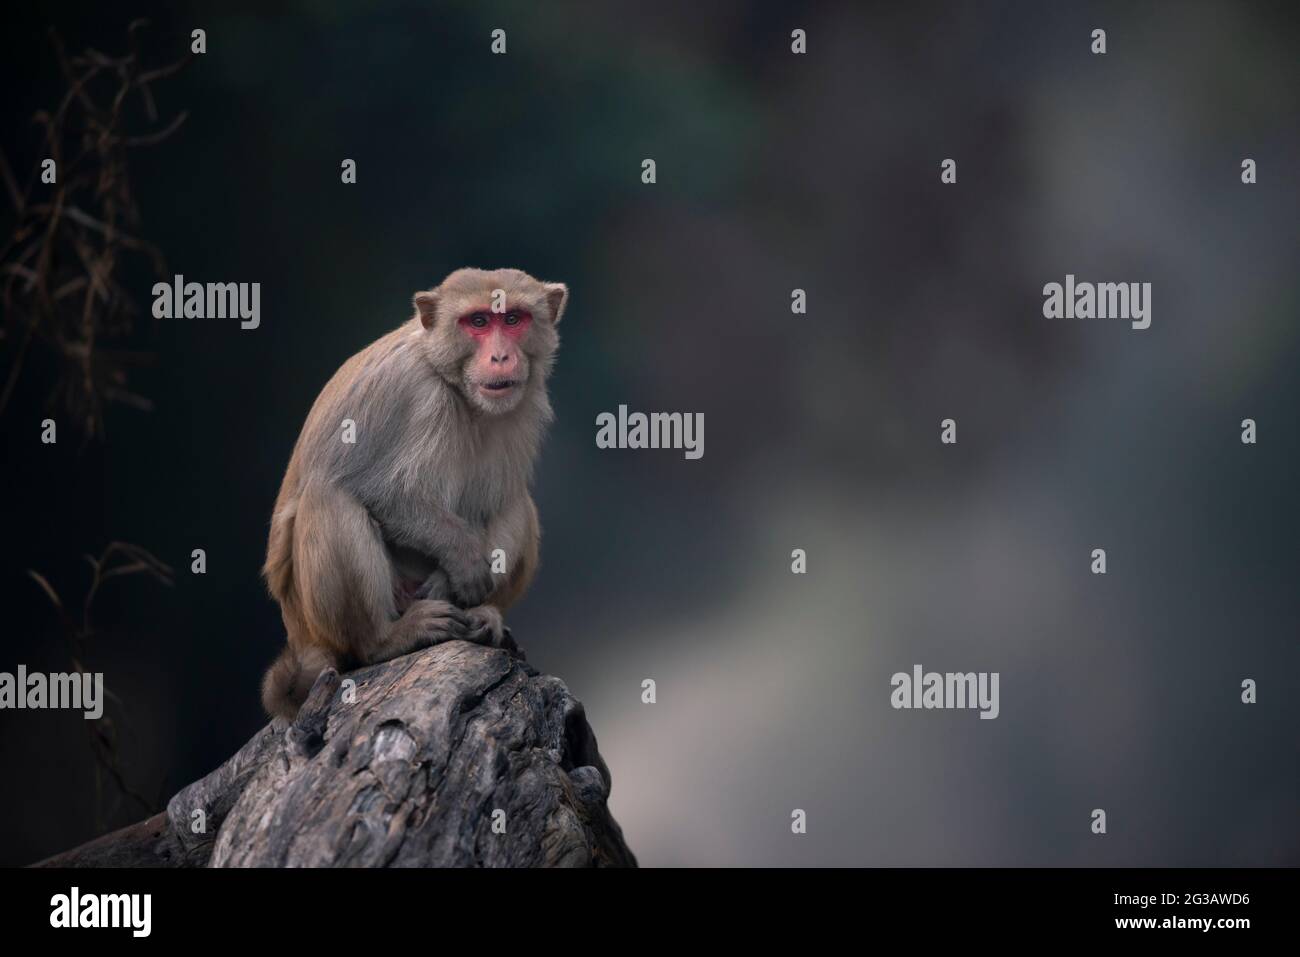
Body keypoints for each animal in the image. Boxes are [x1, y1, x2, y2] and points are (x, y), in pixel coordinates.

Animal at [259, 267, 567, 721]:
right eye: (478, 322)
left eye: (513, 319)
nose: (501, 358)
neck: (451, 382)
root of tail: (298, 634)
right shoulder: (414, 392)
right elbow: (377, 489)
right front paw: (462, 559)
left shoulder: (523, 404)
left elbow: (498, 501)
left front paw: (451, 584)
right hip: (324, 620)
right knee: (329, 494)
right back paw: (383, 640)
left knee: (518, 503)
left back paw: (483, 614)